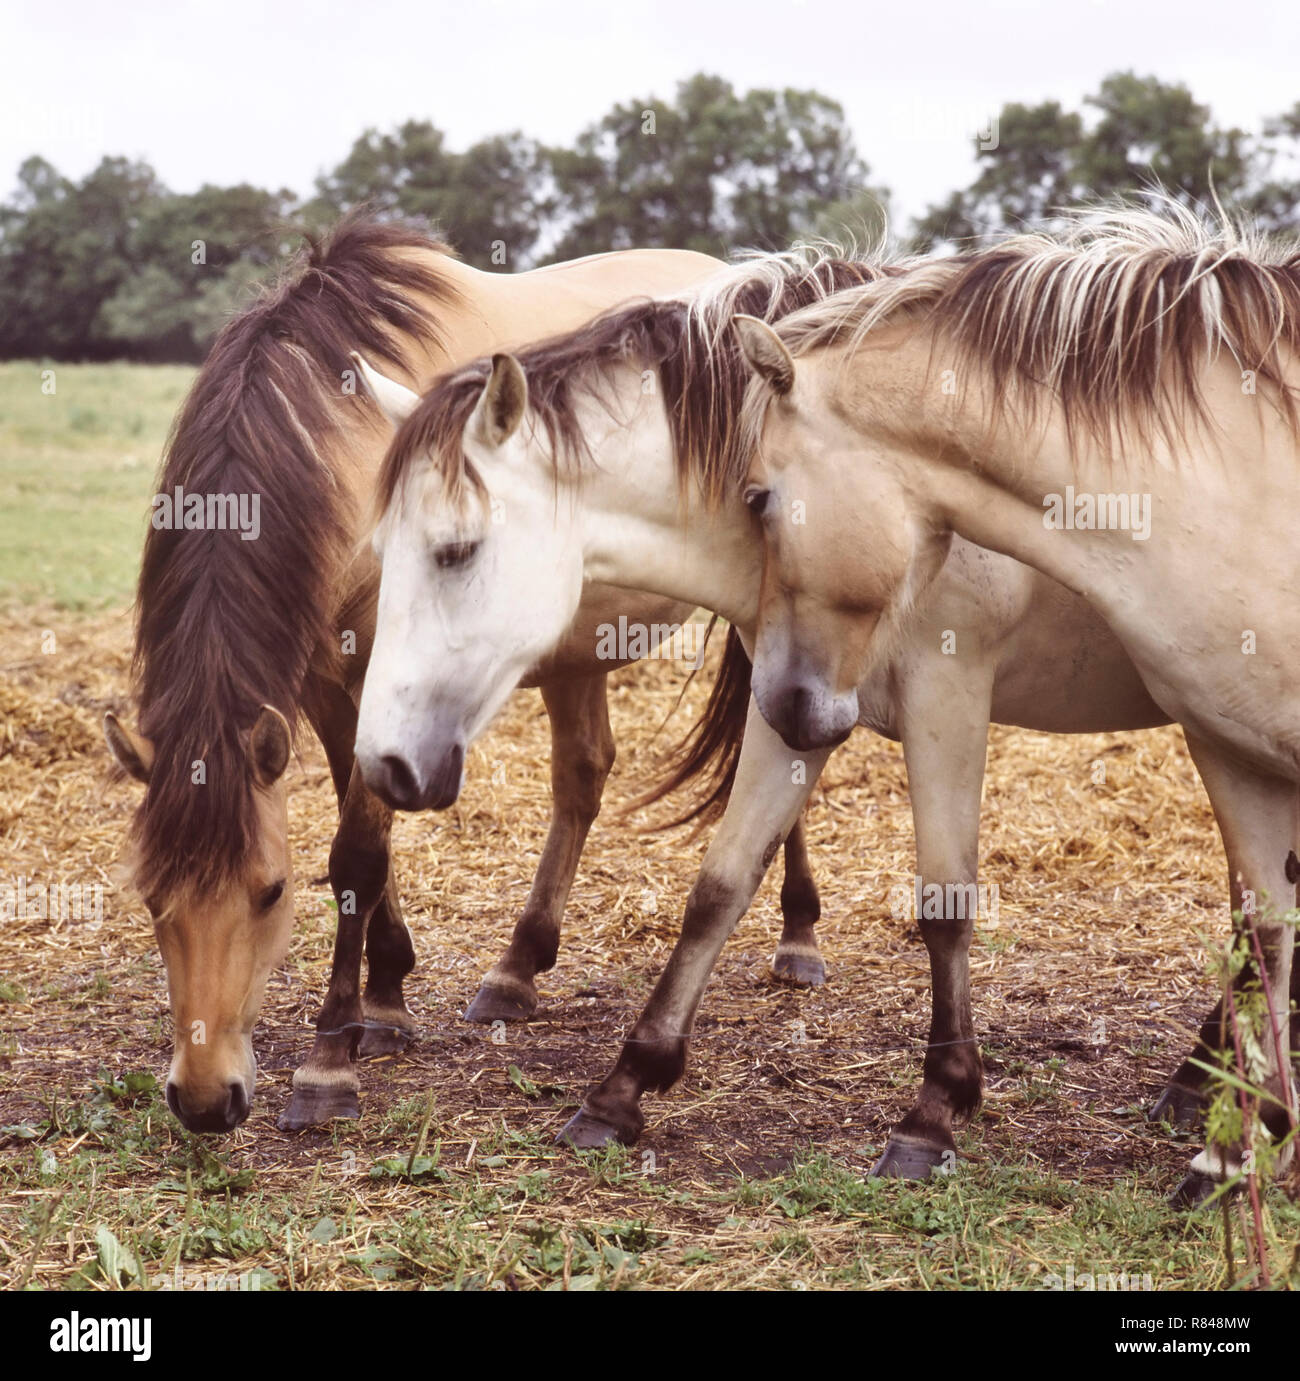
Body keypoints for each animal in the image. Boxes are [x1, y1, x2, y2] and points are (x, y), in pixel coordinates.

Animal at [102, 211, 841, 1136]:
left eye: (270, 892)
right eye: (149, 897)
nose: (205, 1099)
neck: (341, 437)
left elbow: (355, 852)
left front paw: (329, 1056)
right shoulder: (334, 689)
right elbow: (367, 838)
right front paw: (385, 997)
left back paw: (798, 934)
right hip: (575, 649)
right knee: (583, 775)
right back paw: (517, 967)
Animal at [353, 241, 1243, 1193]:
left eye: (456, 551)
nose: (386, 764)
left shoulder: (947, 695)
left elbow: (944, 904)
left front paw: (934, 1110)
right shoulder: (791, 704)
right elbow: (719, 883)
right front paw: (625, 1086)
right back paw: (1200, 1079)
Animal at [735, 203, 1300, 1203]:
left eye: (760, 497)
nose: (783, 703)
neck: (1249, 484)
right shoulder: (1238, 747)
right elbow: (1265, 932)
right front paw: (1242, 1149)